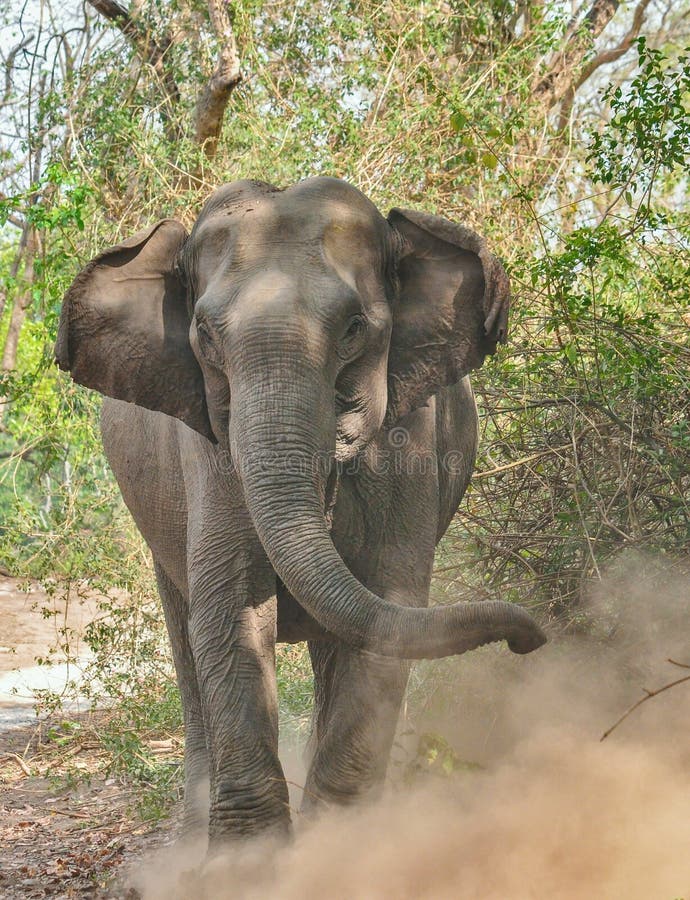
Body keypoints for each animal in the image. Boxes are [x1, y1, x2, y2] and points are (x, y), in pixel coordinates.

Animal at [55, 176, 545, 847]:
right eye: (205, 335)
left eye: (354, 328)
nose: (532, 639)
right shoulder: (210, 451)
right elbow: (231, 614)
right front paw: (249, 860)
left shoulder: (415, 442)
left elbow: (387, 609)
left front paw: (338, 848)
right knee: (186, 633)